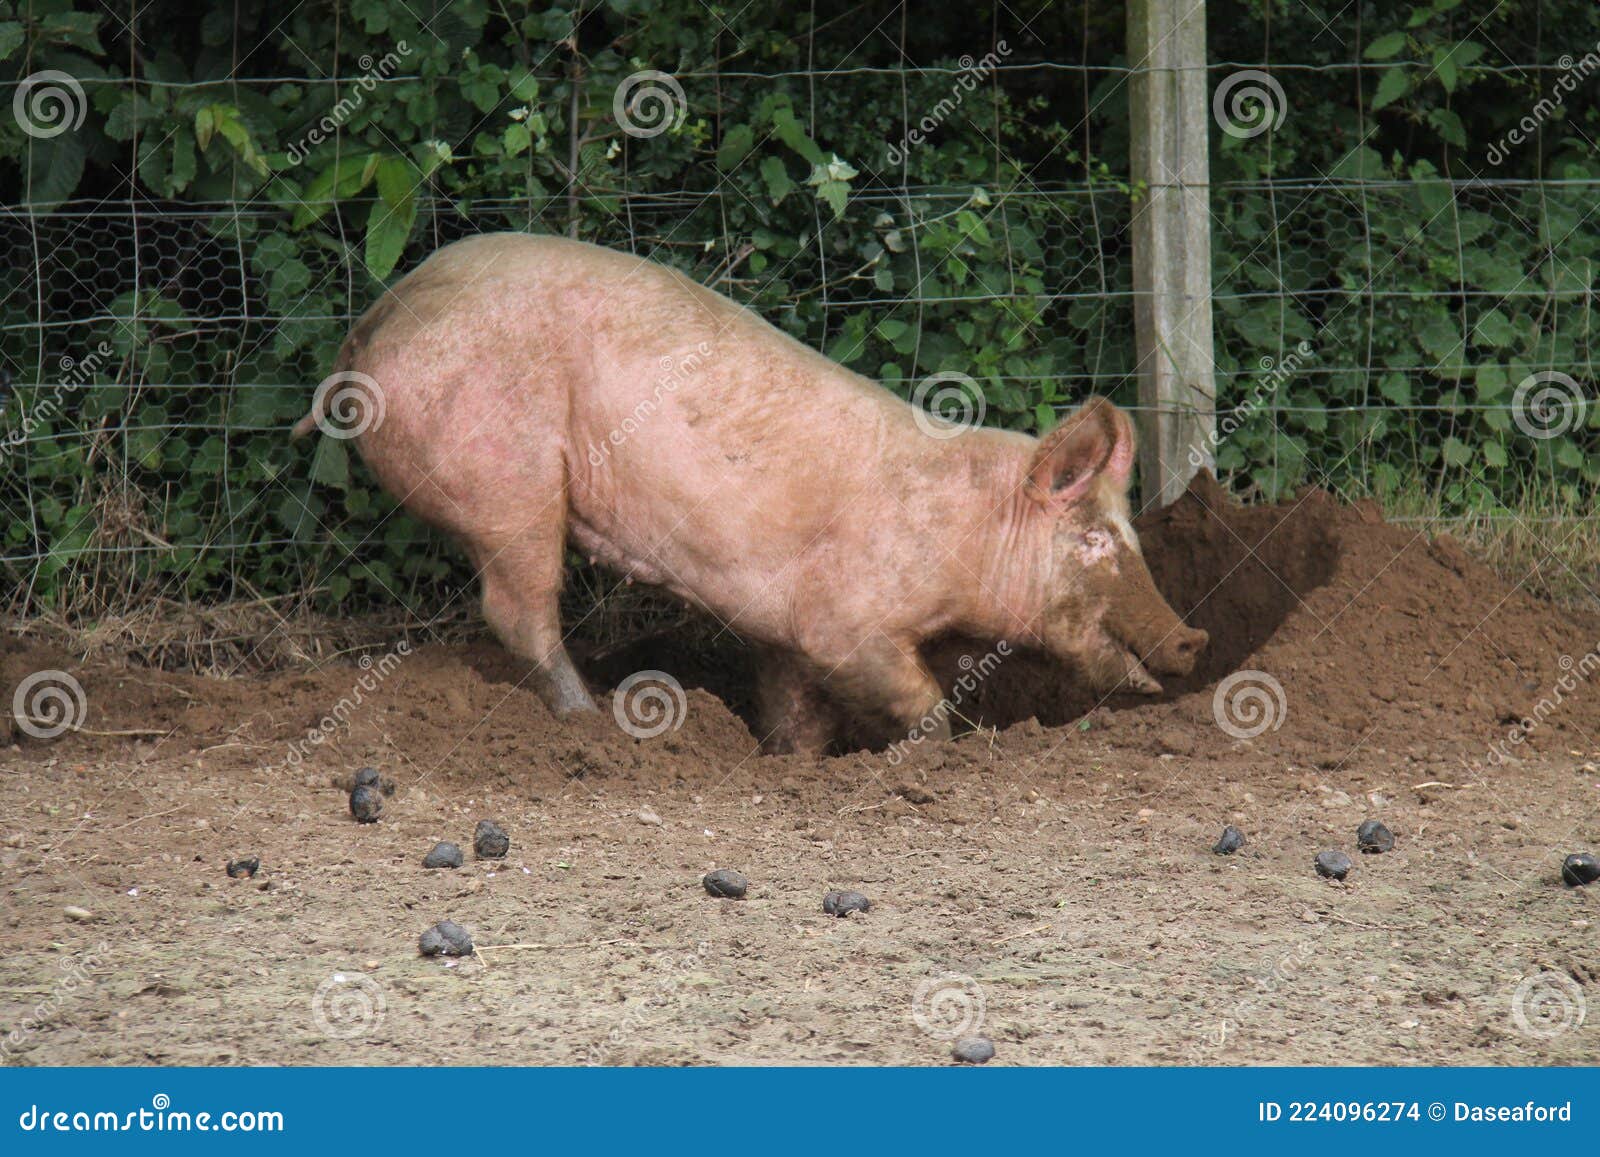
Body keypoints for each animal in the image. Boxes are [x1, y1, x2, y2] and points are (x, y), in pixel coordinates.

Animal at [293, 234, 1207, 755]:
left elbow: (795, 714)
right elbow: (913, 697)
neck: (965, 533)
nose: (1193, 637)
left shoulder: (785, 634)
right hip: (509, 482)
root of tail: (377, 319)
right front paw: (938, 753)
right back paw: (594, 722)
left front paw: (786, 762)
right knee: (519, 609)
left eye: (1132, 532)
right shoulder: (847, 622)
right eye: (1094, 539)